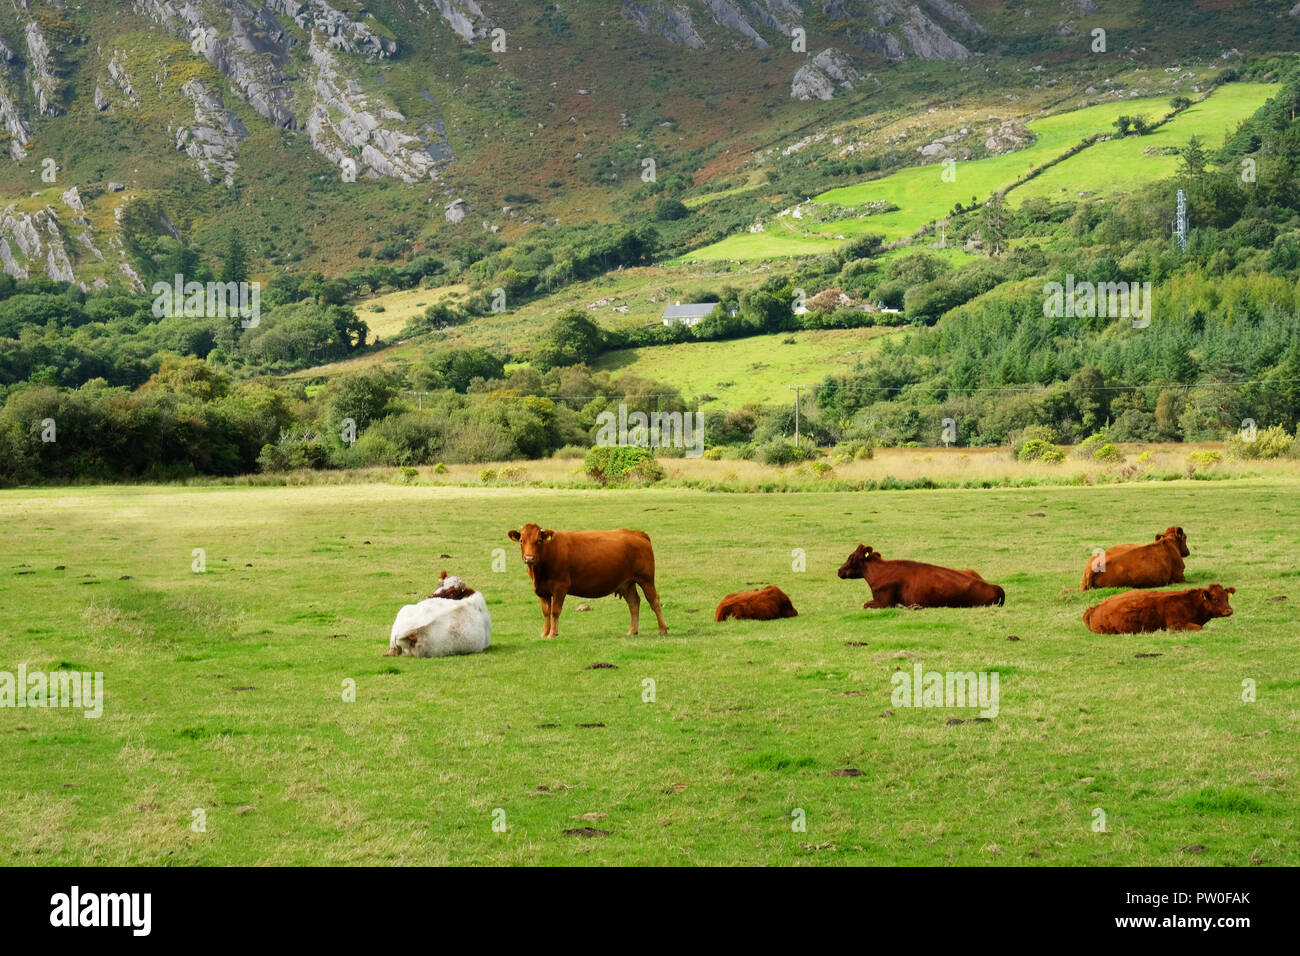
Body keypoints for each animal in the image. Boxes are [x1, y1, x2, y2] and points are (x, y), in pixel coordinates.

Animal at [507, 524, 667, 638]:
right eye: (522, 540)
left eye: (539, 541)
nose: (529, 558)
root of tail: (637, 533)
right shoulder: (542, 591)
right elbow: (546, 612)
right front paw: (545, 633)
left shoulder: (560, 587)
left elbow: (555, 611)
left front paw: (553, 633)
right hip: (627, 584)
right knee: (634, 603)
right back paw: (632, 631)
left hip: (646, 580)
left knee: (654, 601)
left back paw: (662, 630)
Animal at [837, 545, 1005, 609]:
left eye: (851, 557)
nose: (839, 571)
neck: (878, 572)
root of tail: (997, 588)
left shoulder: (885, 602)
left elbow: (865, 604)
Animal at [1083, 584, 1235, 634]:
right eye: (1215, 599)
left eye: (1227, 598)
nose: (1229, 611)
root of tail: (1093, 608)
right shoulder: (1174, 625)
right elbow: (1199, 628)